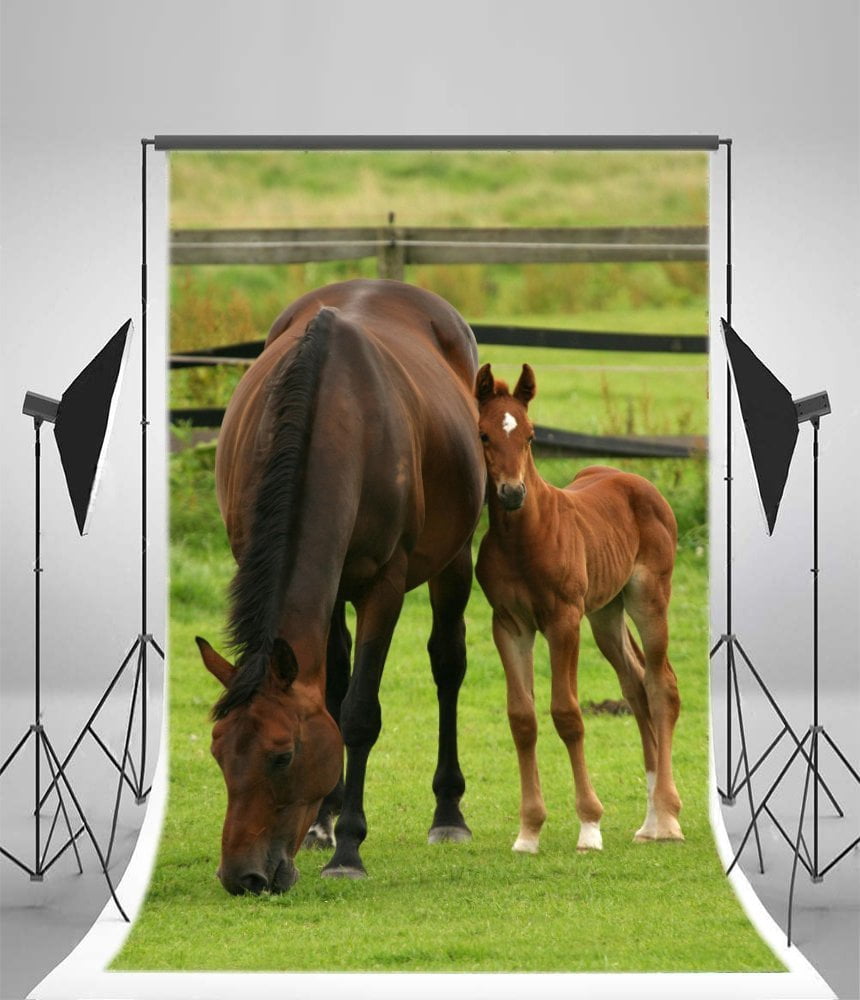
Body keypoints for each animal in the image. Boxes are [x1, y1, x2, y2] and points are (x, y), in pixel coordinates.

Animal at [195, 279, 486, 894]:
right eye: (218, 753)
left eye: (281, 757)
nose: (242, 877)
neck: (335, 417)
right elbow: (330, 696)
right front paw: (326, 825)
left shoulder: (385, 584)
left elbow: (358, 715)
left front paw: (349, 848)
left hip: (454, 560)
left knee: (448, 664)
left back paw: (447, 814)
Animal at [473, 362, 683, 854]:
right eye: (484, 434)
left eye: (530, 435)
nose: (512, 493)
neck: (524, 539)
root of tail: (635, 480)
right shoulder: (509, 625)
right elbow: (522, 718)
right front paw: (528, 831)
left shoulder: (563, 621)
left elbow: (567, 714)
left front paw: (589, 825)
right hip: (606, 613)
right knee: (635, 685)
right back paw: (648, 822)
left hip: (648, 598)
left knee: (661, 685)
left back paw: (668, 817)